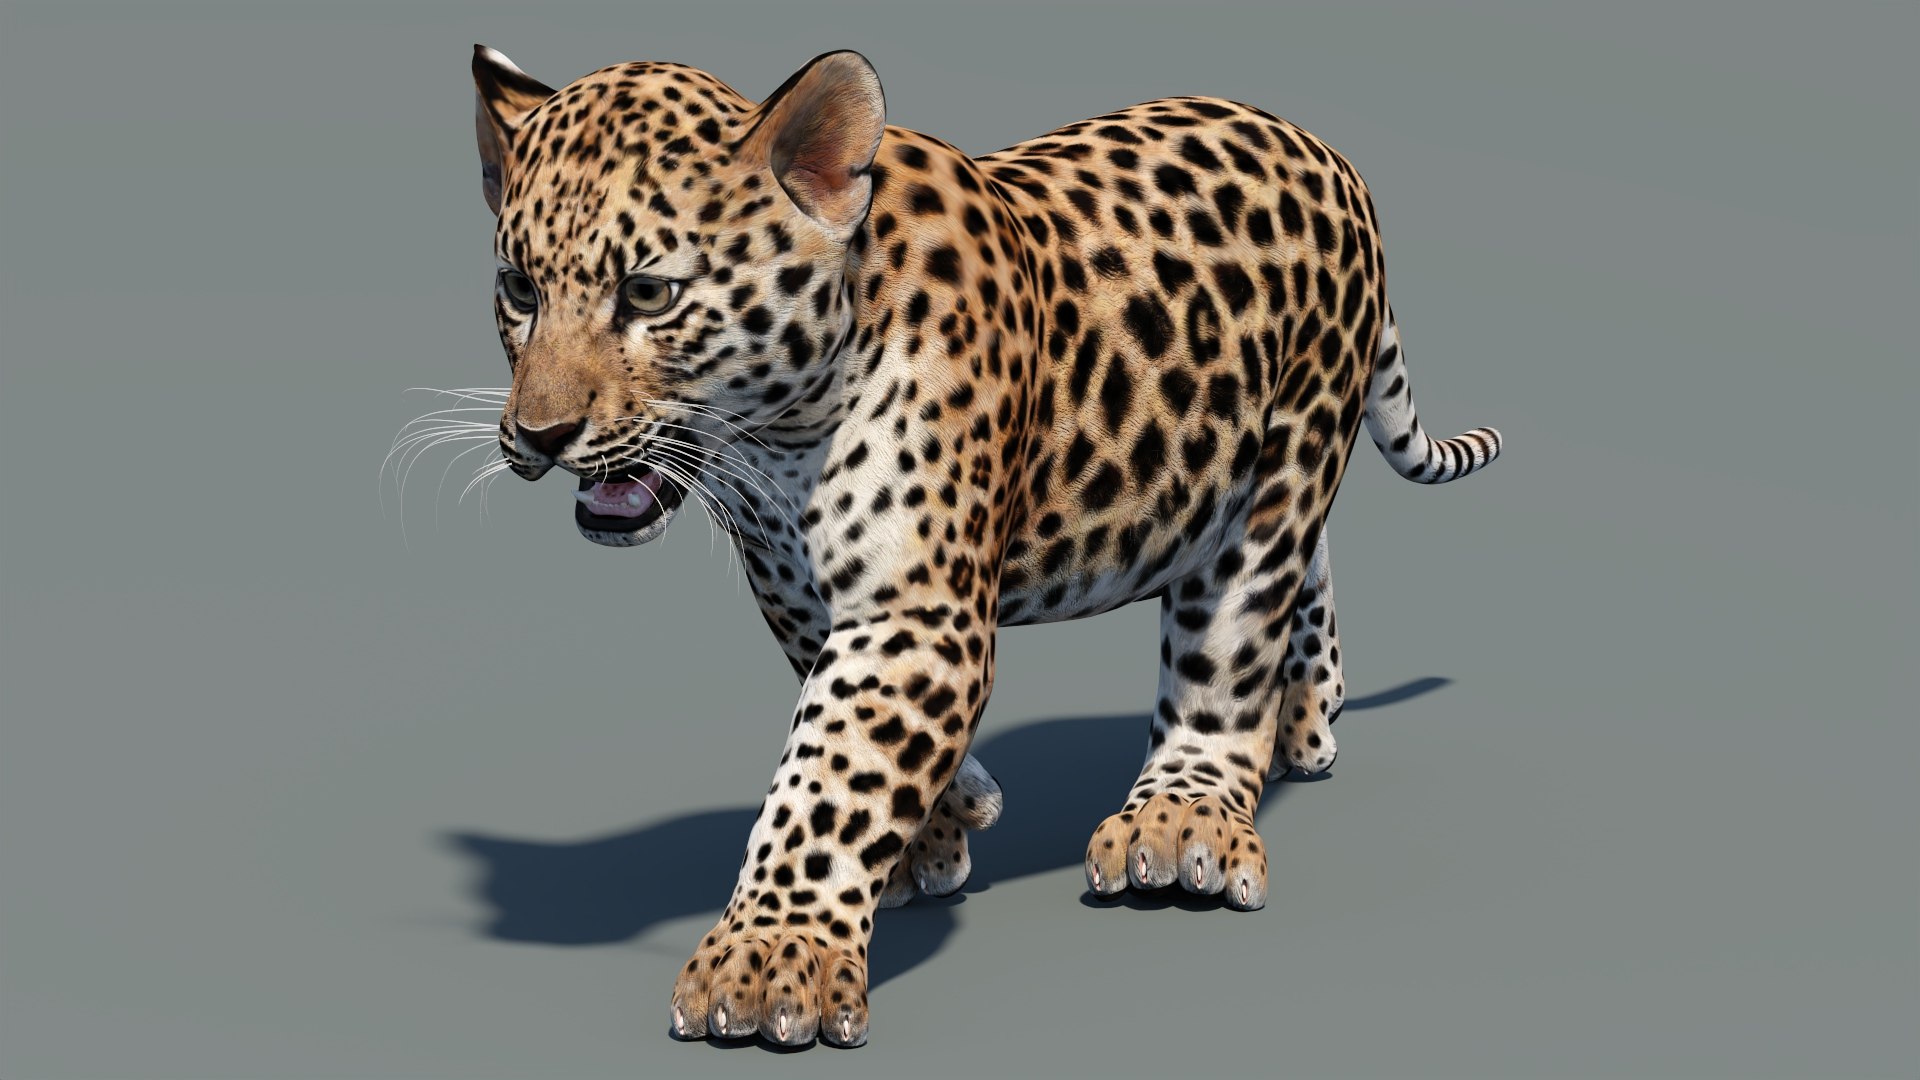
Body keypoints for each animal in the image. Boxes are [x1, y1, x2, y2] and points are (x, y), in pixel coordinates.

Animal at [465, 44, 1503, 1048]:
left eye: (649, 293)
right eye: (519, 289)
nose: (538, 436)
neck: (776, 441)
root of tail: (1319, 147)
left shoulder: (916, 611)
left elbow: (831, 774)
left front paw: (770, 960)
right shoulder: (799, 591)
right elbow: (848, 727)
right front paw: (943, 825)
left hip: (1287, 448)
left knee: (1237, 629)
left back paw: (1185, 816)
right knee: (1308, 571)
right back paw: (1304, 725)